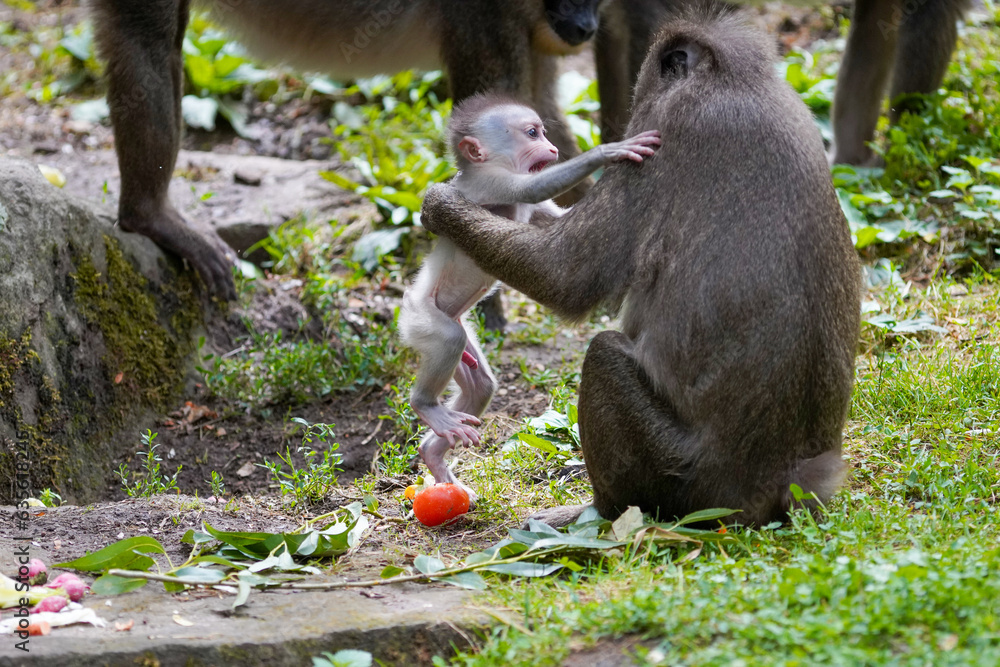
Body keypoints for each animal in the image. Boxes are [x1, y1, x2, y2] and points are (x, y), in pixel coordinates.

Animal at [398, 93, 661, 487]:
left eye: (543, 133)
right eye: (532, 133)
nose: (552, 148)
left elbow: (557, 218)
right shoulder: (494, 180)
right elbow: (532, 189)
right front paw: (608, 151)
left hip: (458, 329)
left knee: (480, 381)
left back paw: (434, 453)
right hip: (422, 319)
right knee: (446, 340)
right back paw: (425, 405)